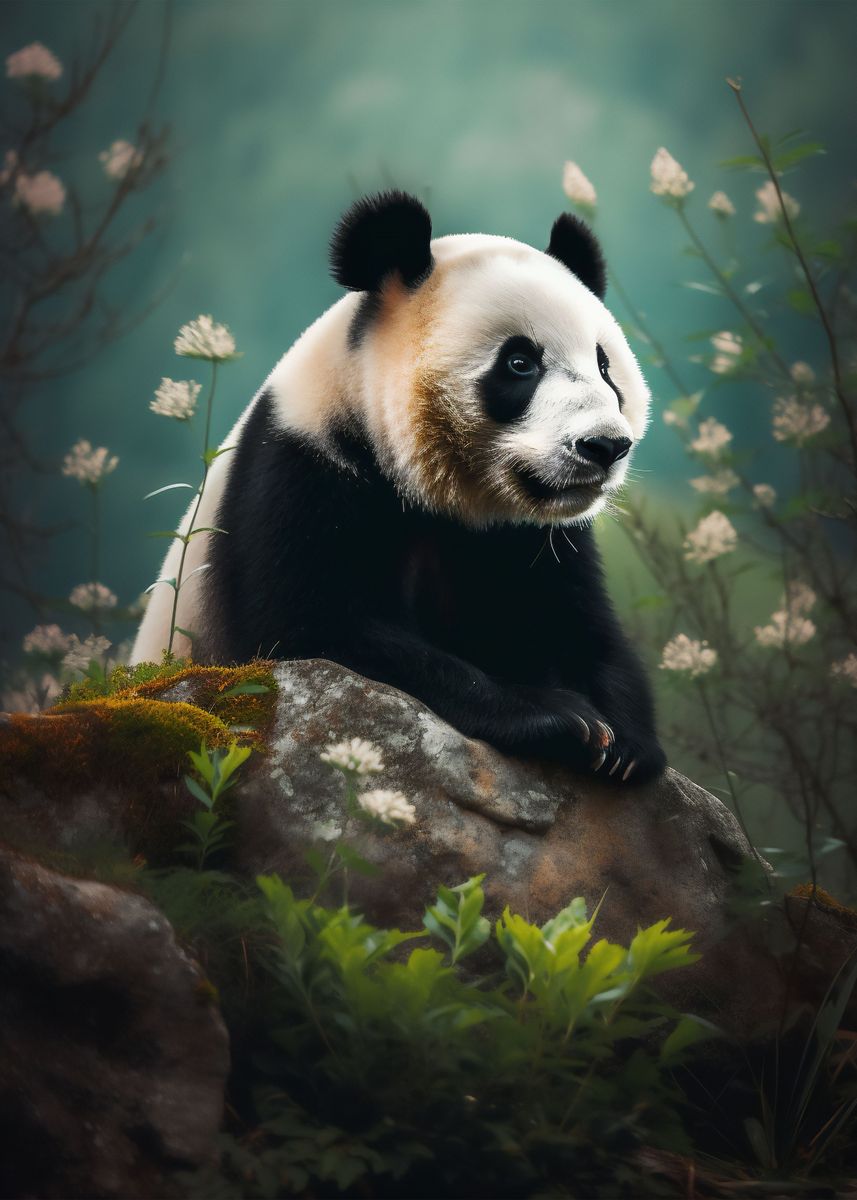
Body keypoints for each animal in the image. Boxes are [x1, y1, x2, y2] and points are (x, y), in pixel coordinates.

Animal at [133, 191, 666, 785]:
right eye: (520, 362)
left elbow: (578, 624)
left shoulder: (530, 536)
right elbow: (310, 630)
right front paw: (560, 718)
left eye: (605, 366)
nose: (605, 446)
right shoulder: (298, 468)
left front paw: (625, 743)